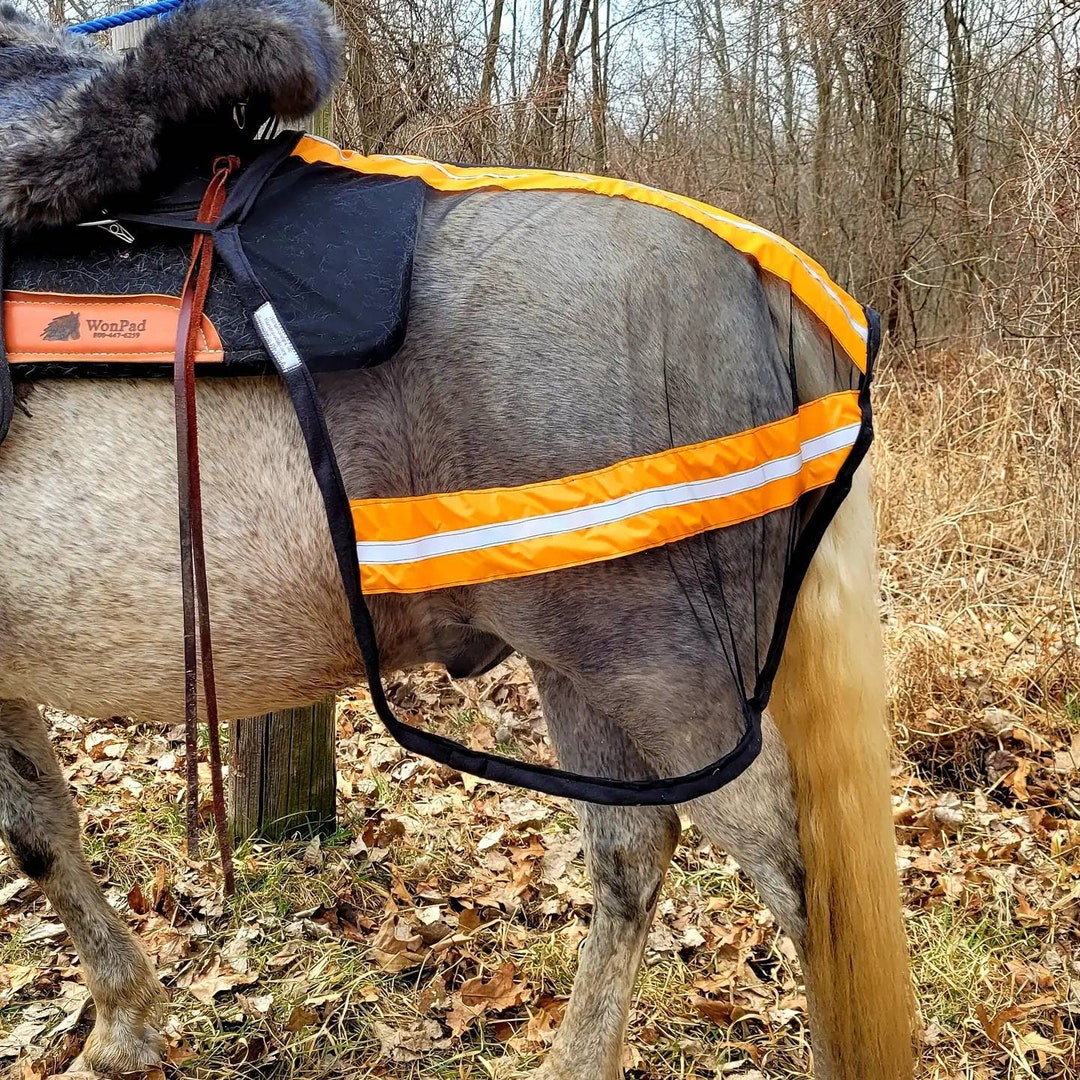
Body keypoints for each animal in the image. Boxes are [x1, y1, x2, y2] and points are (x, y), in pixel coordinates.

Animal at [0, 186, 914, 1078]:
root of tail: (751, 265)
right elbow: (40, 834)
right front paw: (124, 1023)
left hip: (662, 679)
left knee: (805, 890)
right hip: (583, 673)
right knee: (634, 855)